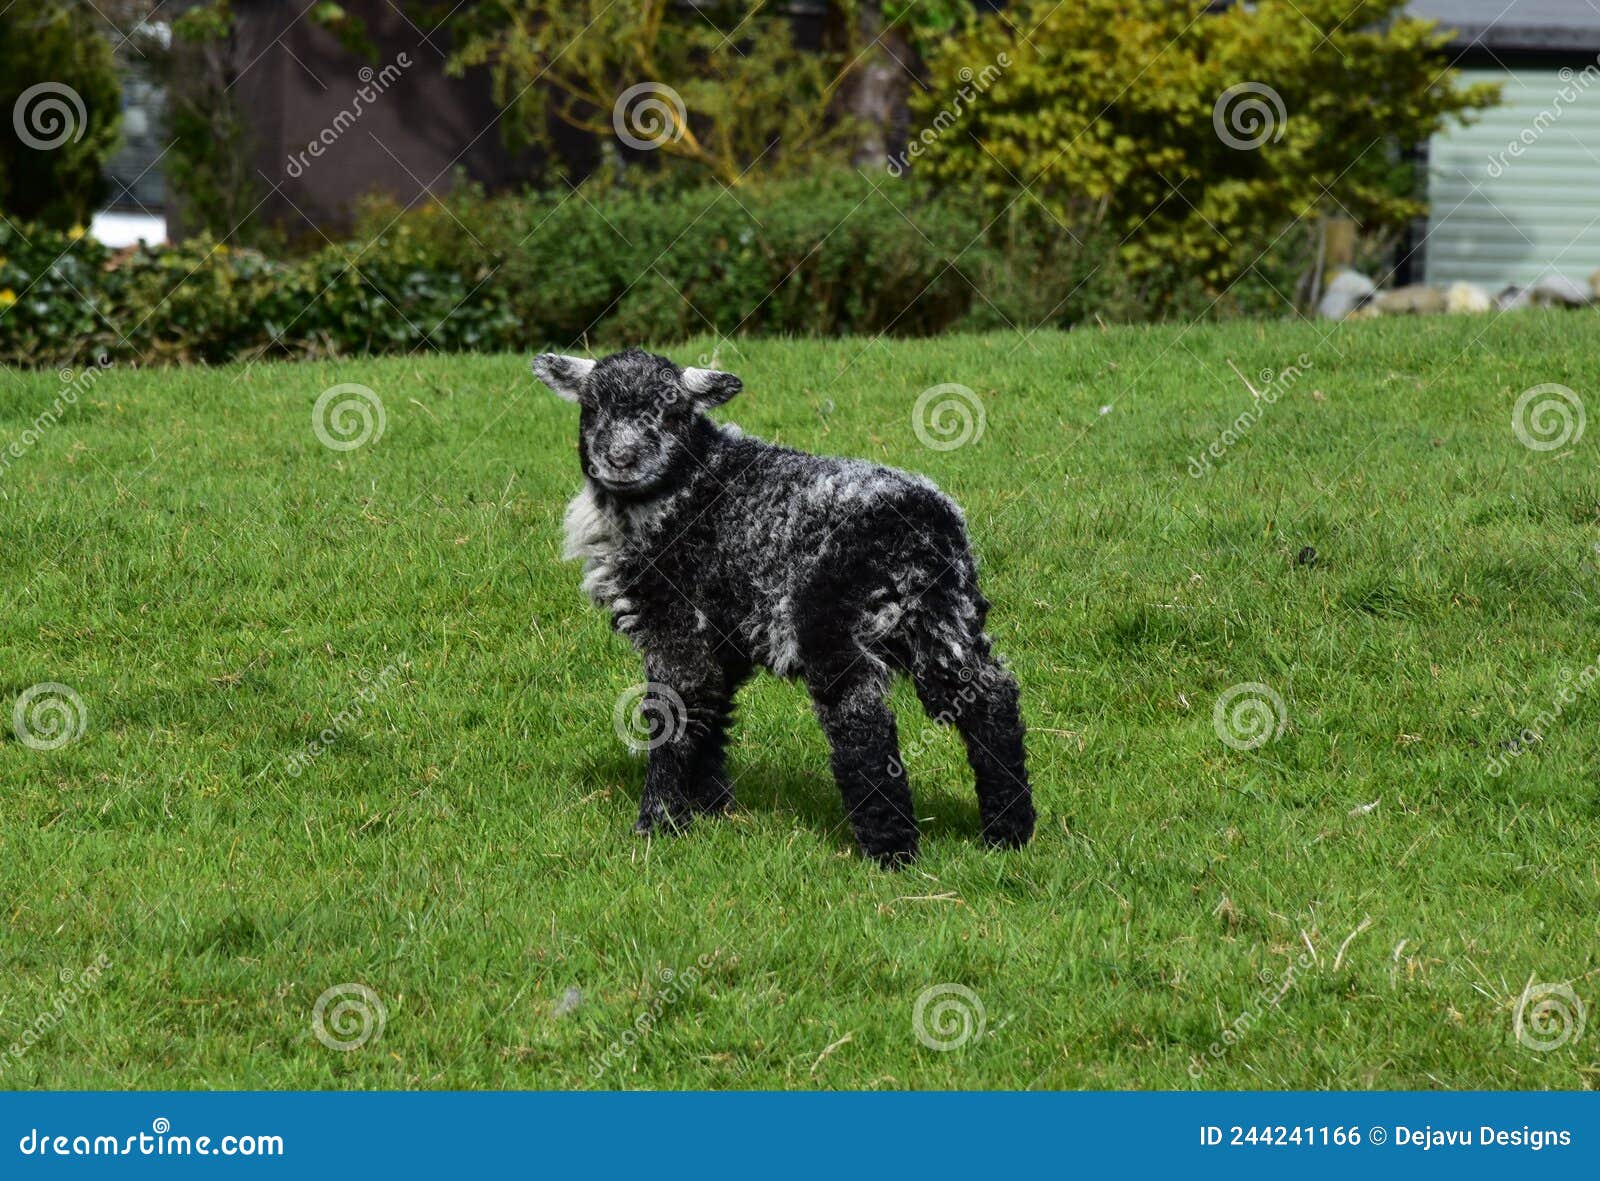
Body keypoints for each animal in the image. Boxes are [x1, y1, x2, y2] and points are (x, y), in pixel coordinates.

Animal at [531, 347, 1036, 867]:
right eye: (591, 408)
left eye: (671, 414)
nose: (620, 459)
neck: (685, 486)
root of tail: (919, 531)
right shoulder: (724, 632)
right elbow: (709, 710)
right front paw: (713, 810)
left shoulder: (676, 623)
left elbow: (674, 711)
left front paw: (659, 821)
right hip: (947, 616)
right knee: (990, 698)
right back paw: (1008, 829)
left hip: (834, 623)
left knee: (863, 722)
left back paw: (891, 851)